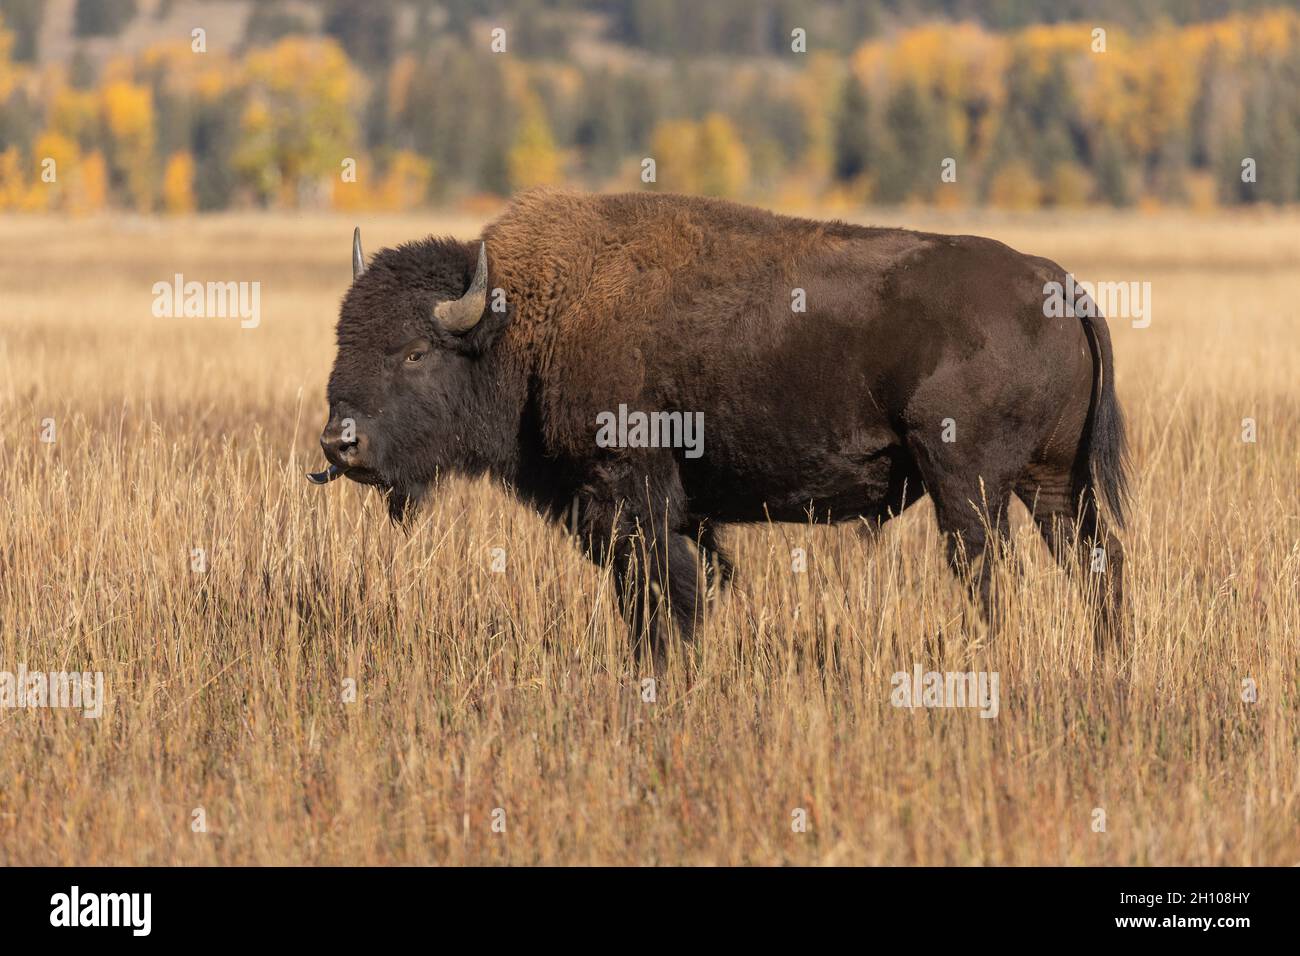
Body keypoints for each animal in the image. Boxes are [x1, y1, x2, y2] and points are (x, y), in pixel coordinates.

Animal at [309, 189, 1128, 659]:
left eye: (415, 350)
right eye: (342, 336)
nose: (339, 442)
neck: (531, 322)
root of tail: (1060, 286)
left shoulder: (631, 494)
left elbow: (658, 589)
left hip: (969, 482)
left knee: (986, 566)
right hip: (1052, 483)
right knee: (1095, 559)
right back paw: (1106, 657)